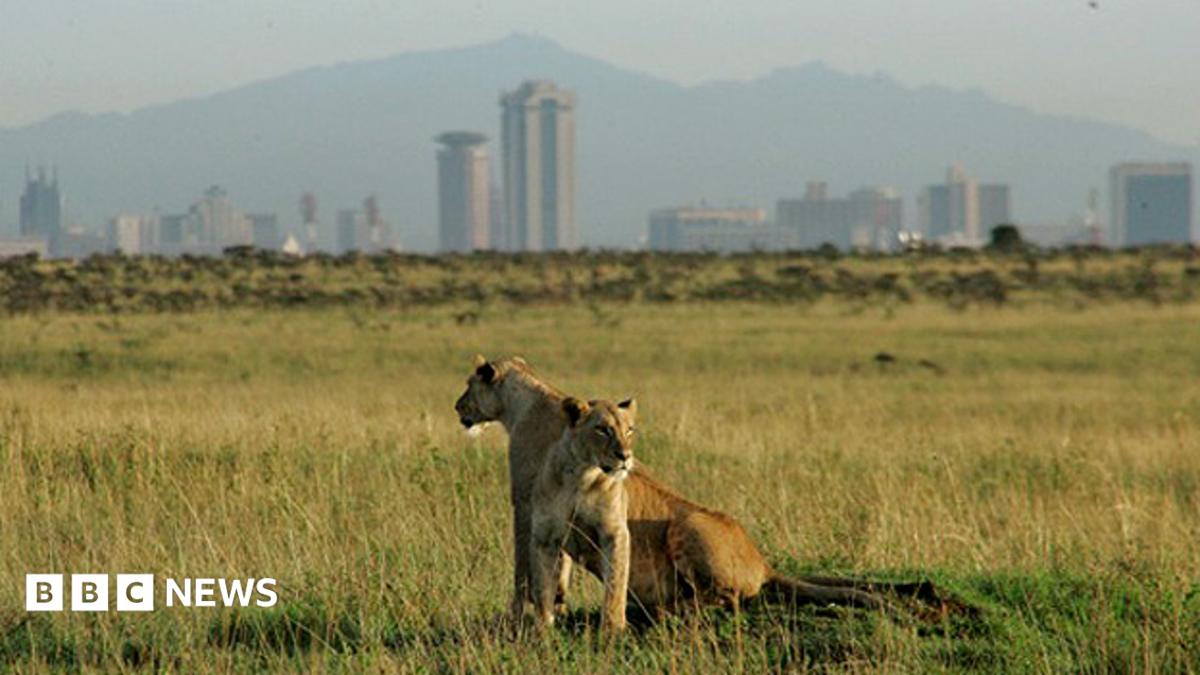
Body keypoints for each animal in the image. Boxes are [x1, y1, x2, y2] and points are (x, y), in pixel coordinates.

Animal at [529, 398, 635, 632]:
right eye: (602, 430)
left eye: (629, 430)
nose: (625, 456)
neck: (581, 475)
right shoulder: (545, 537)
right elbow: (543, 589)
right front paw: (542, 631)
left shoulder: (614, 532)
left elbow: (616, 582)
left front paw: (613, 629)